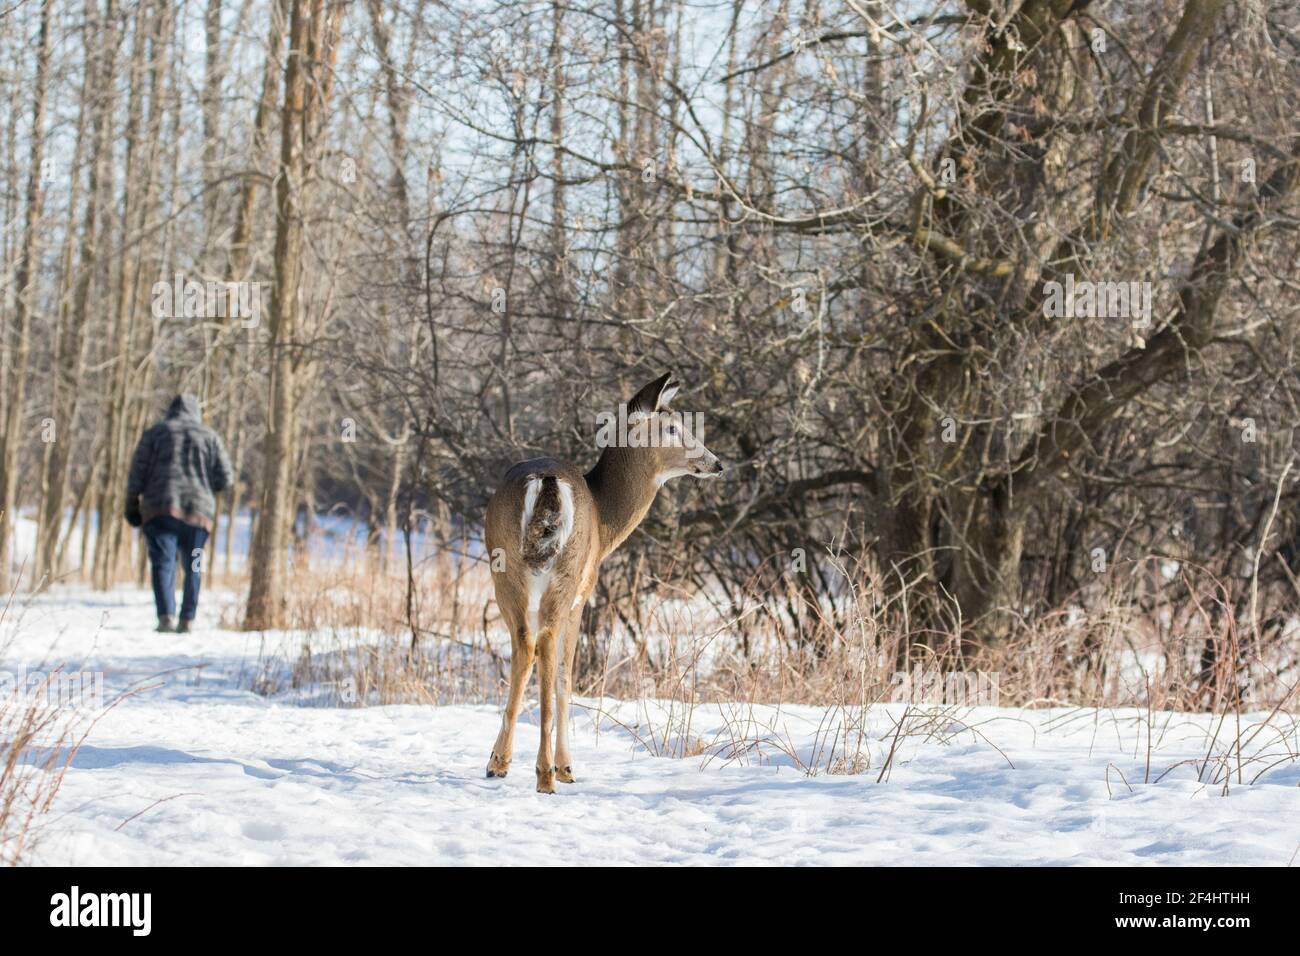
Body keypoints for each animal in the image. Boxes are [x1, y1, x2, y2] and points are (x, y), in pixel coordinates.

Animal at [483, 372, 723, 793]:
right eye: (673, 427)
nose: (716, 462)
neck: (605, 516)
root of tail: (546, 481)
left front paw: (504, 762)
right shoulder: (584, 592)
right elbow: (566, 676)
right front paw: (565, 767)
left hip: (505, 570)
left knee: (524, 645)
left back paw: (499, 762)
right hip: (567, 571)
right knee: (548, 650)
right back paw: (547, 774)